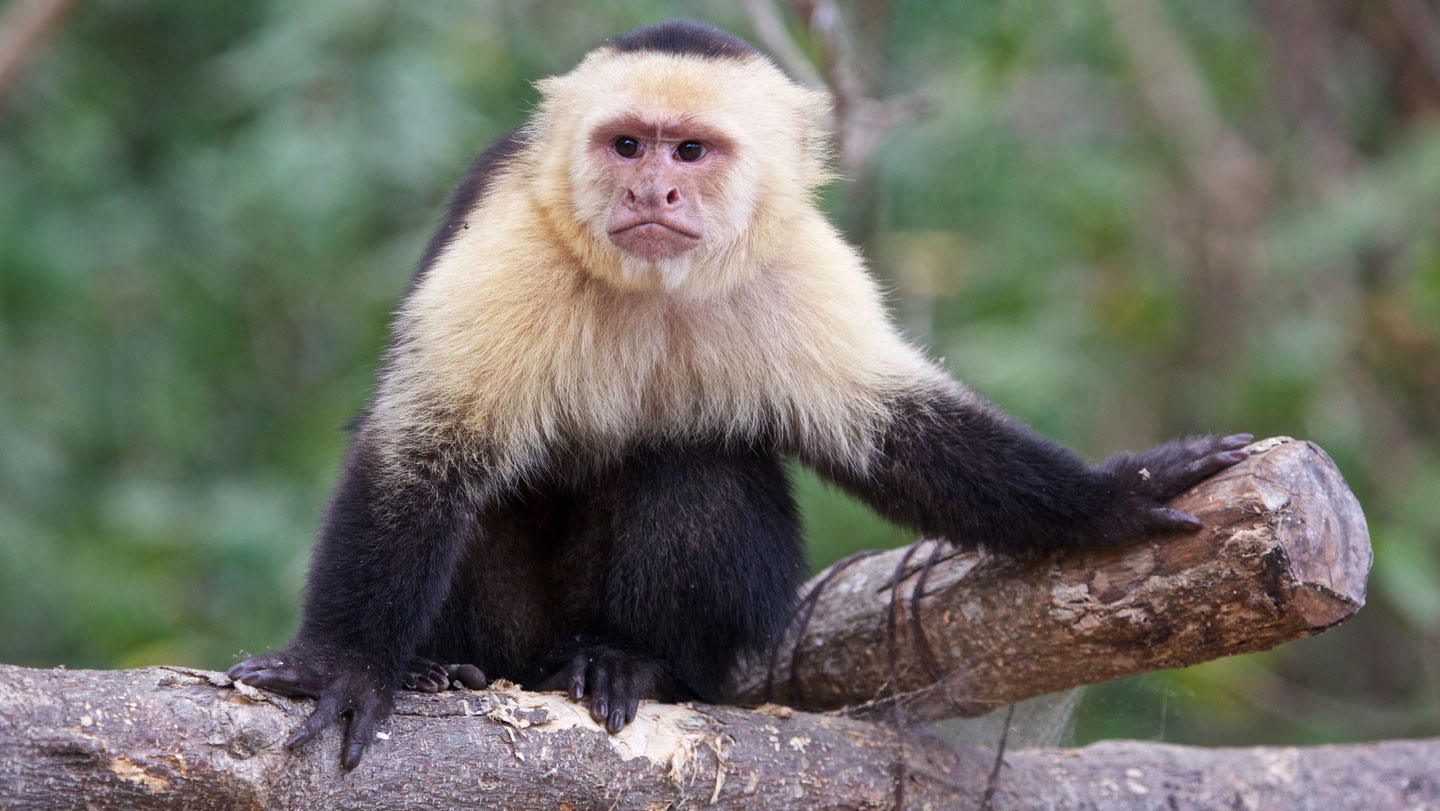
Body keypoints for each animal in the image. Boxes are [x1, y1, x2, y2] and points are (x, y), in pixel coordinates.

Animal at [228, 20, 1251, 771]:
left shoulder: (800, 257)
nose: (652, 190)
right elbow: (422, 455)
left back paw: (631, 657)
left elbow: (902, 438)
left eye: (691, 150)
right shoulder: (511, 242)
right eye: (627, 144)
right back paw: (444, 665)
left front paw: (1121, 496)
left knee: (698, 458)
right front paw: (349, 669)